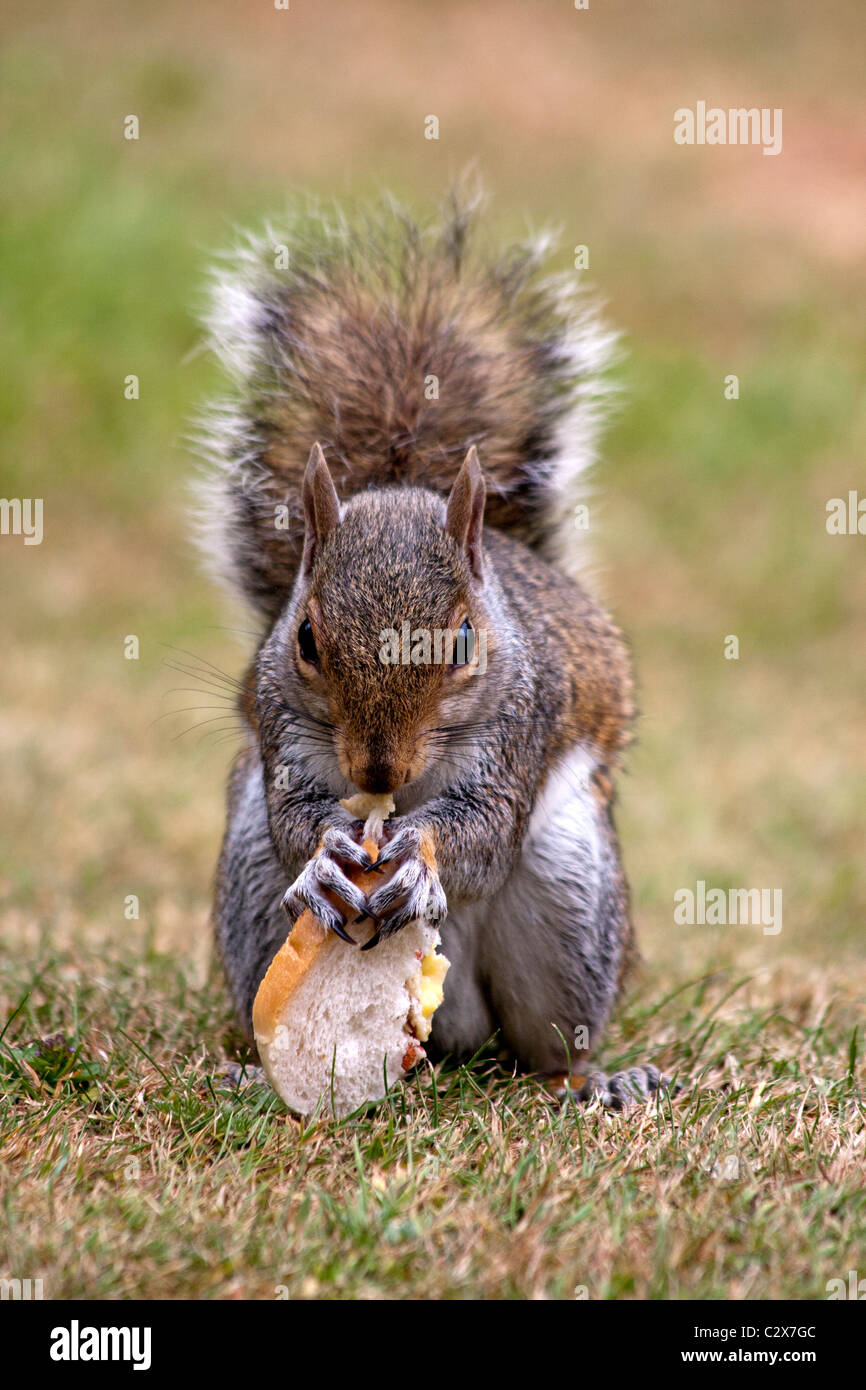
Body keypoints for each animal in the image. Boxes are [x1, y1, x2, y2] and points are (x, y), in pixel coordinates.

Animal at [196, 190, 670, 1108]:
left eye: (463, 641)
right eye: (305, 637)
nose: (378, 771)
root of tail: (452, 1038)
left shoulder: (524, 722)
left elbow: (482, 833)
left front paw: (418, 861)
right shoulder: (281, 725)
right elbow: (293, 818)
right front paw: (327, 858)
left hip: (569, 892)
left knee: (546, 1042)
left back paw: (597, 1079)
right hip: (248, 882)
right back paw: (248, 1072)